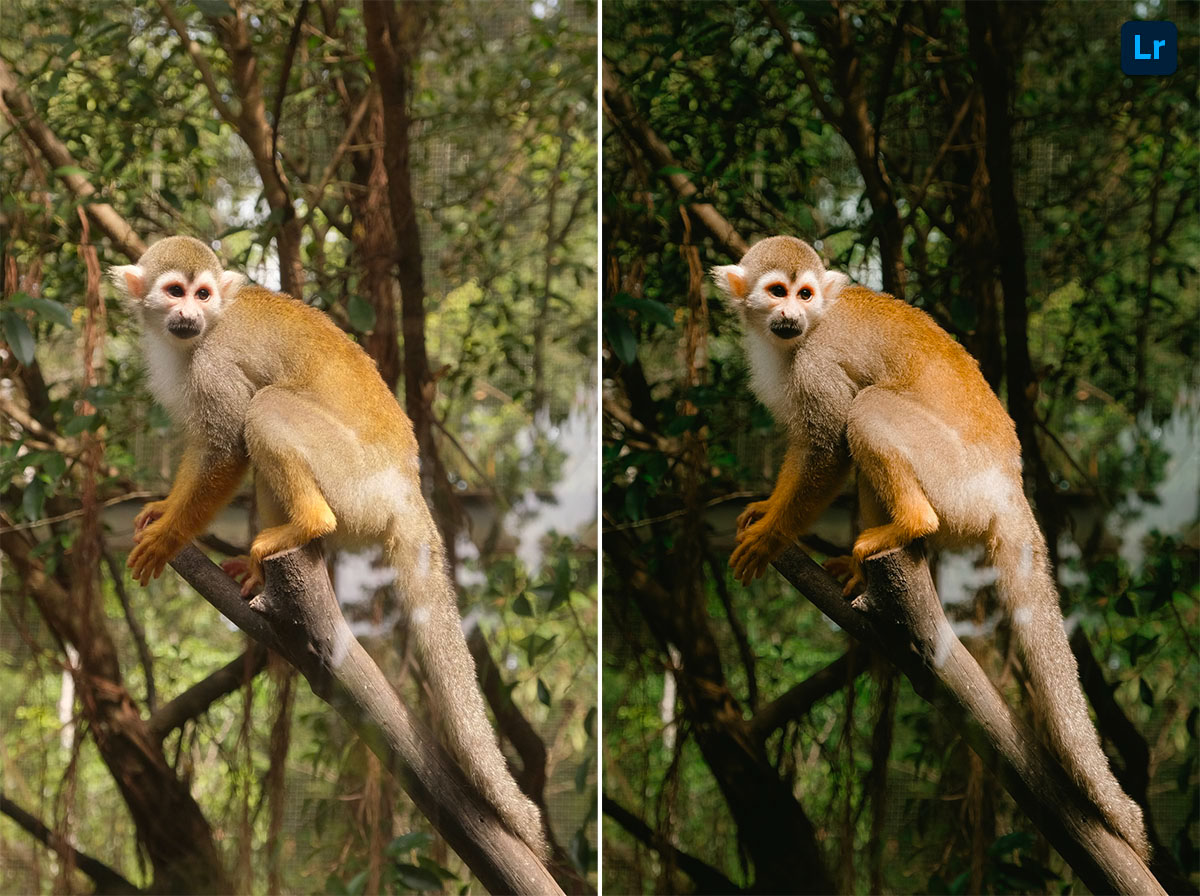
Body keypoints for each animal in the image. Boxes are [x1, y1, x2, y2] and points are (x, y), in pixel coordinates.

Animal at [111, 235, 548, 859]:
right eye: (175, 292)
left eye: (203, 294)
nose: (189, 316)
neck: (192, 341)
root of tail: (407, 485)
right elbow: (210, 444)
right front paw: (163, 511)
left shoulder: (212, 364)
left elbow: (226, 444)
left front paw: (170, 538)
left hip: (353, 480)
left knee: (265, 407)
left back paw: (308, 524)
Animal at [711, 235, 1150, 861]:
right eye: (777, 292)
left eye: (805, 294)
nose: (791, 316)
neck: (792, 341)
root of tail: (1009, 486)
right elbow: (811, 443)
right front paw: (765, 511)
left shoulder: (815, 363)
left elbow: (827, 445)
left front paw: (772, 537)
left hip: (955, 479)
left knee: (866, 407)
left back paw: (911, 524)